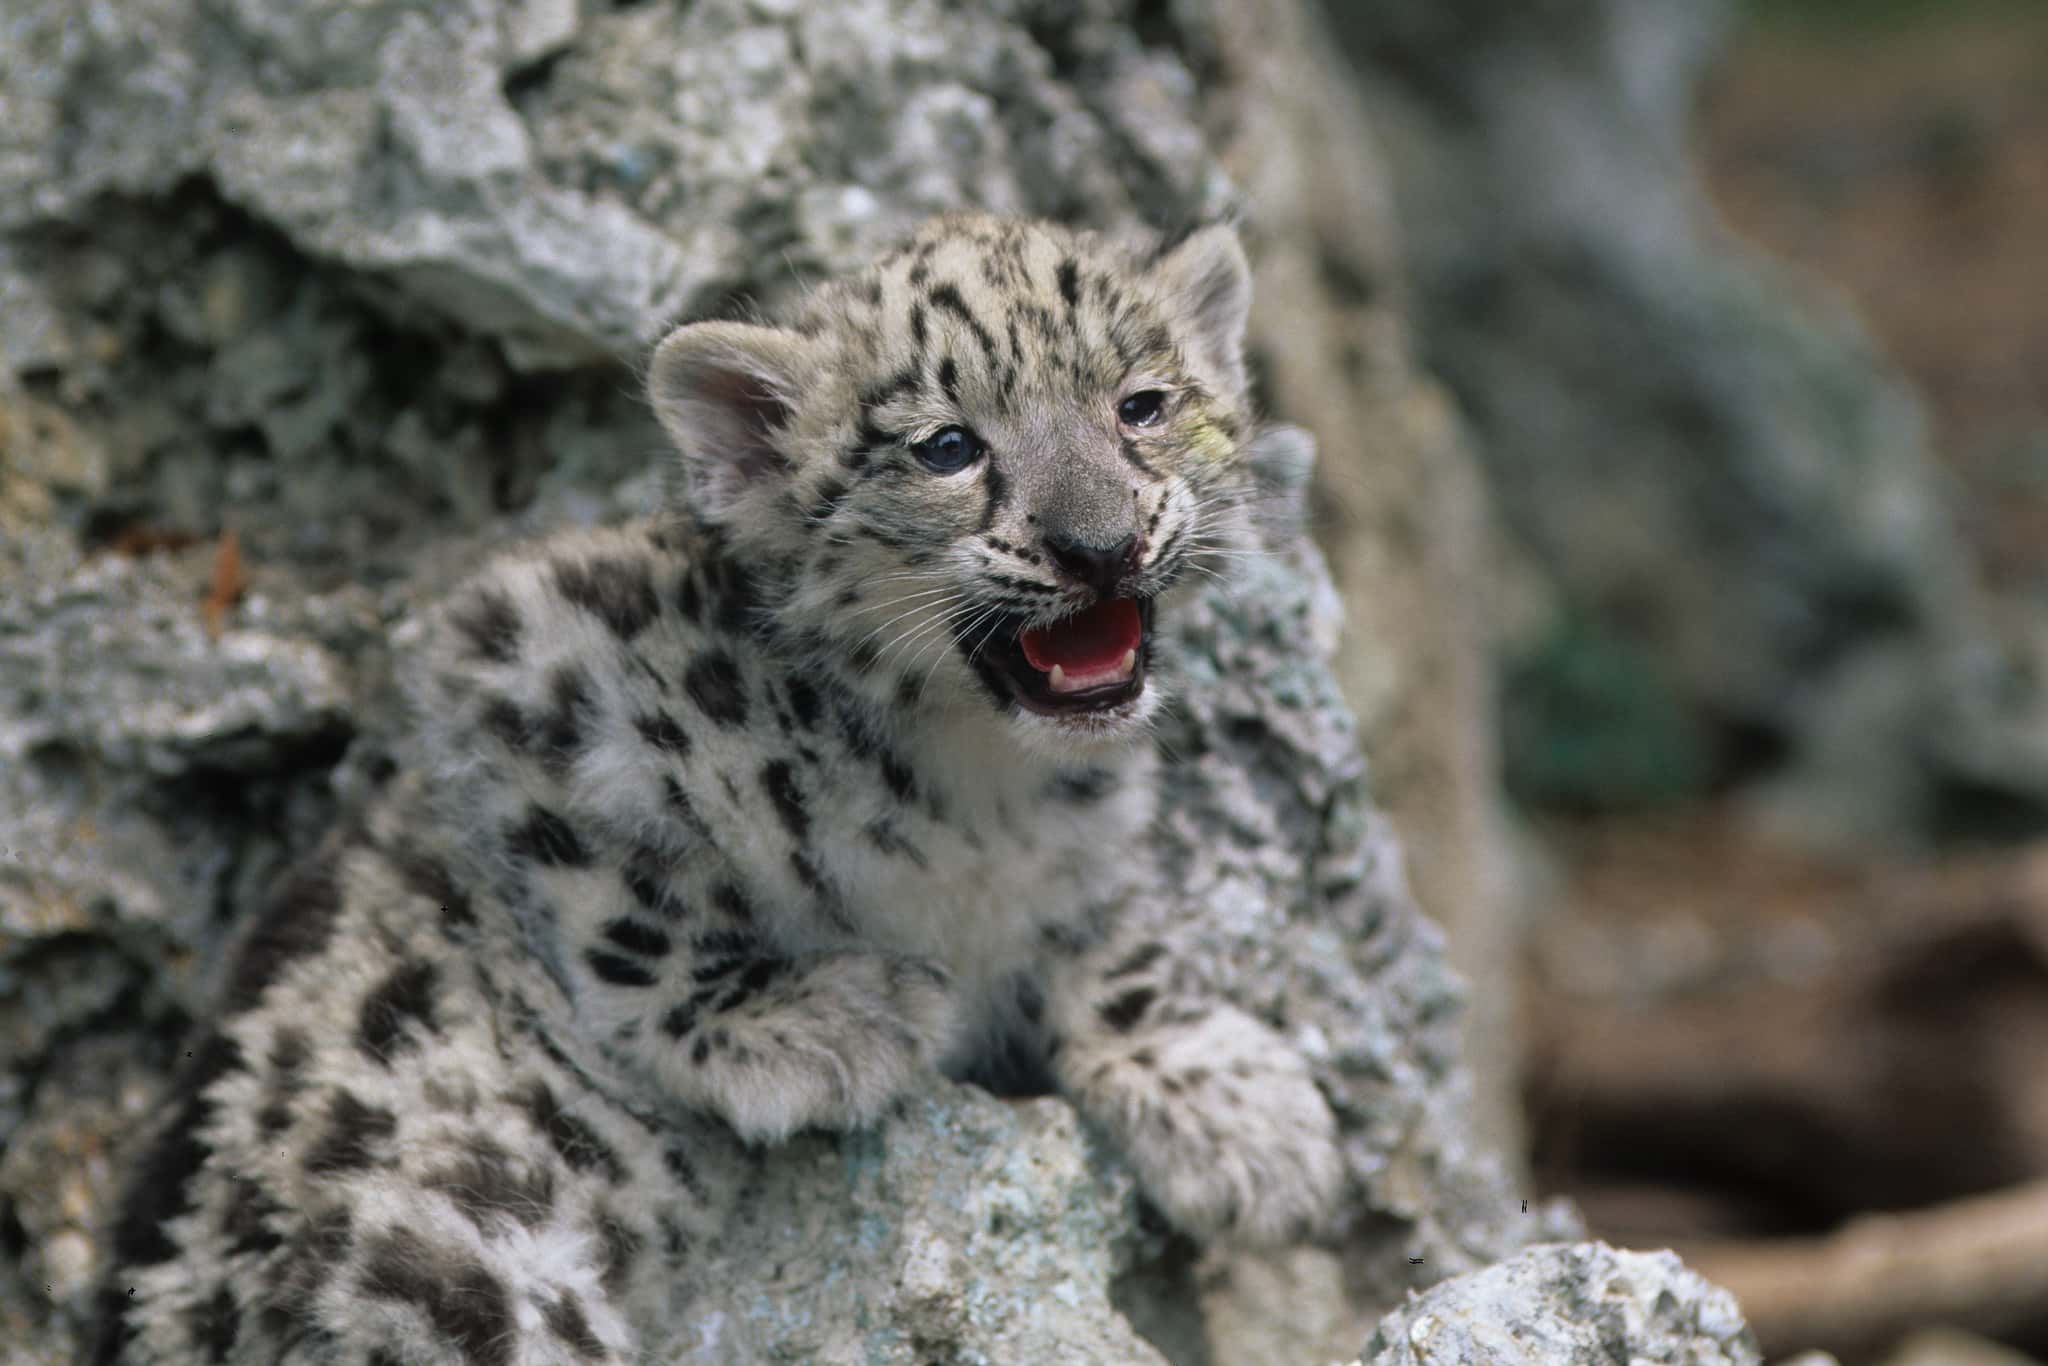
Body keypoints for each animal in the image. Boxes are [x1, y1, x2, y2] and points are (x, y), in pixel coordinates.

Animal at [92, 212, 1345, 1364]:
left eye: (1141, 402)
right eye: (945, 446)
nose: (1096, 545)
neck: (982, 786)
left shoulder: (1083, 844)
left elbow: (1102, 937)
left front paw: (1232, 1104)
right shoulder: (520, 658)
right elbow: (631, 915)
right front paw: (816, 1017)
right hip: (444, 1275)